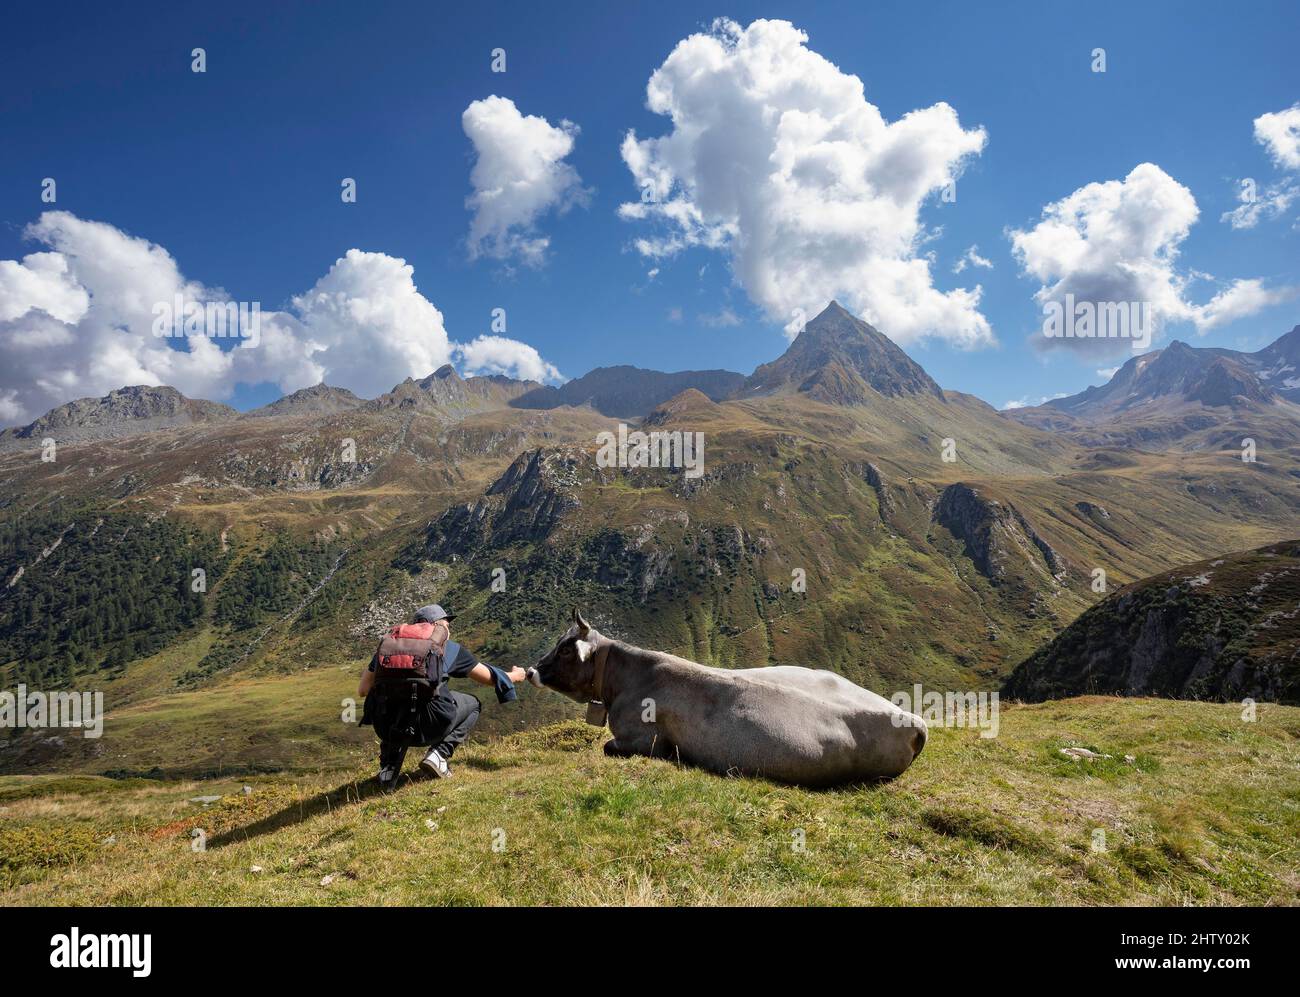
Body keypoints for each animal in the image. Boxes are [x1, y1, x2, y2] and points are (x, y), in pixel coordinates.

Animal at [526, 609, 928, 787]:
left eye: (565, 649)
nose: (531, 670)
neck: (627, 679)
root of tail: (914, 721)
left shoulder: (641, 738)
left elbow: (609, 747)